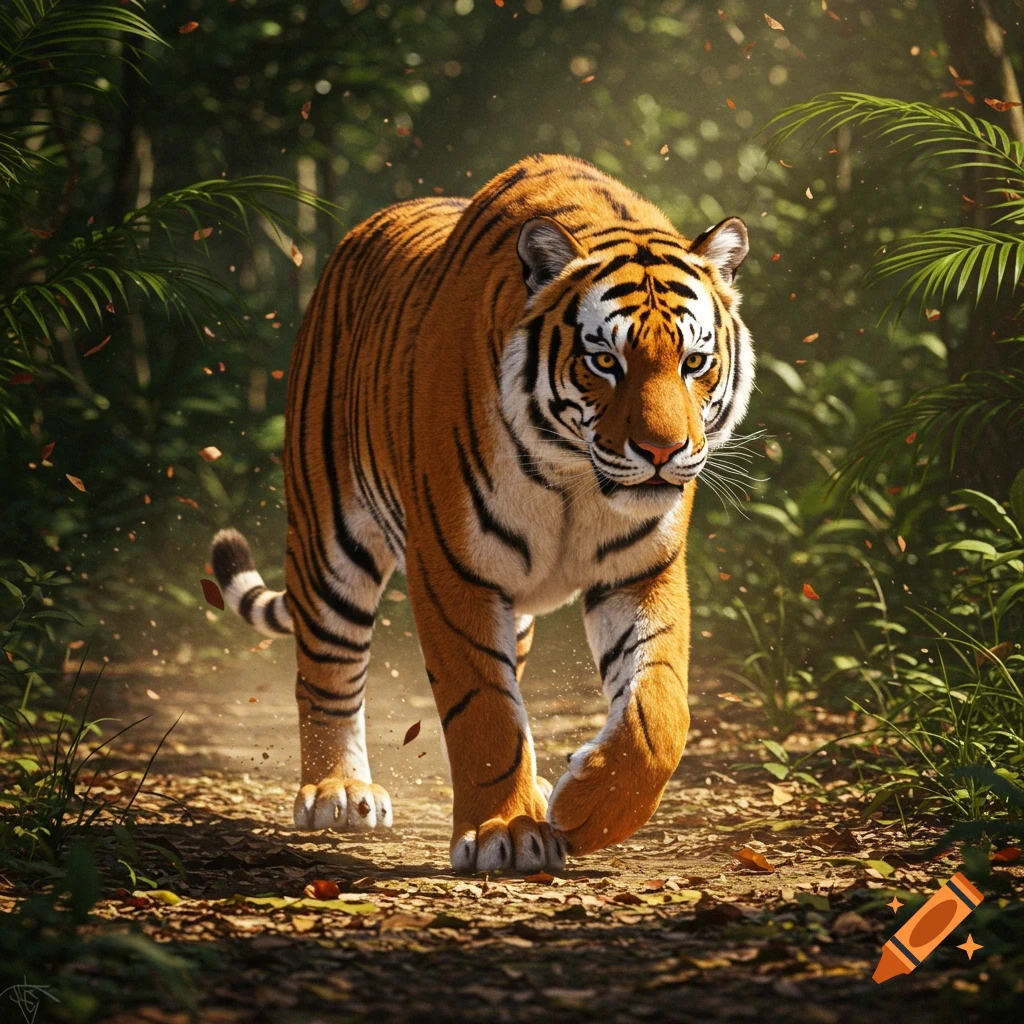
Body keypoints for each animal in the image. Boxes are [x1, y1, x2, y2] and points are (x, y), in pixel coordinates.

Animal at [210, 153, 754, 873]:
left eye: (695, 361)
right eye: (604, 361)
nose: (663, 452)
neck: (576, 476)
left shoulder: (642, 571)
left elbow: (658, 711)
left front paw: (588, 810)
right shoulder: (451, 569)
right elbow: (485, 710)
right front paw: (508, 831)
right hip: (331, 539)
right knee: (327, 670)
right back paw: (338, 791)